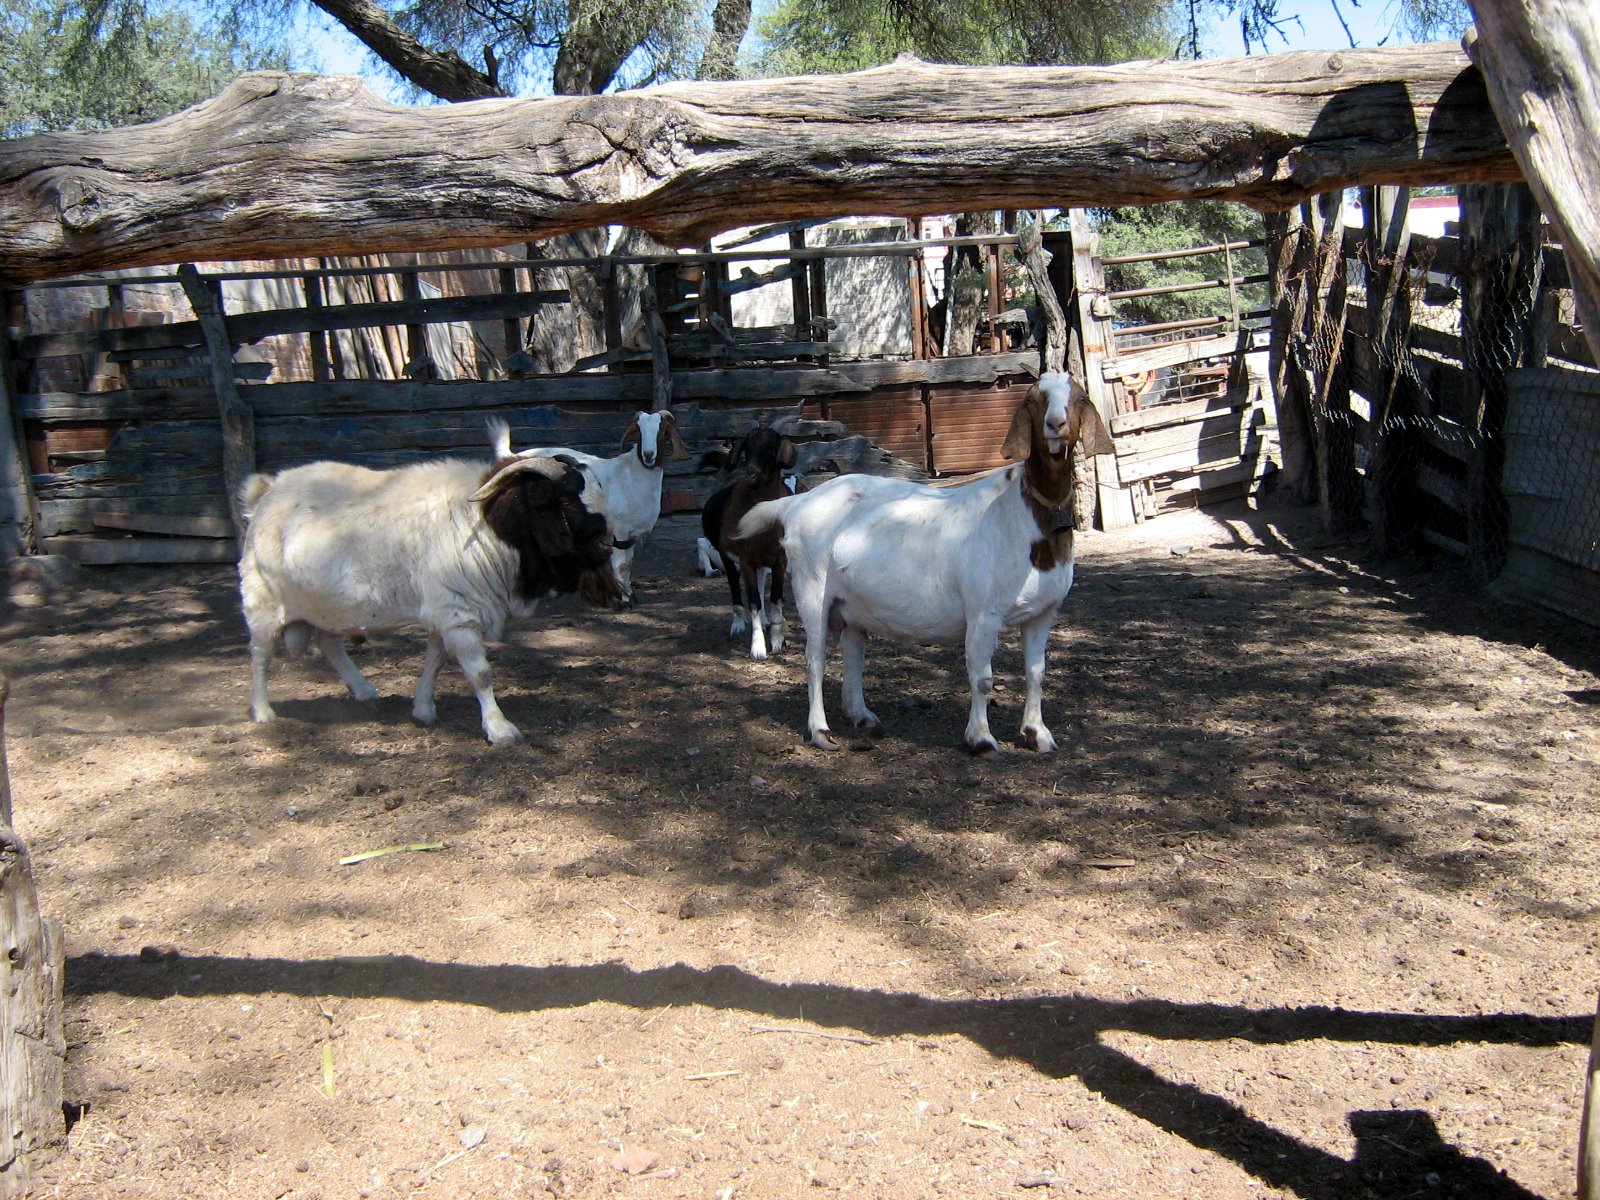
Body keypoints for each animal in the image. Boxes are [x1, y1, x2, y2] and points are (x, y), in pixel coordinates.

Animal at [239, 447, 622, 745]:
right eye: (567, 499)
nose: (608, 543)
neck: (488, 524)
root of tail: (267, 492)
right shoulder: (458, 613)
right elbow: (480, 673)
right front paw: (500, 729)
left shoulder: (445, 610)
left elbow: (435, 660)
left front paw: (423, 710)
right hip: (264, 601)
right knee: (260, 654)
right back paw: (262, 711)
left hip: (324, 604)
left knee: (329, 644)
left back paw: (364, 692)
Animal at [501, 409, 689, 606]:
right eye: (639, 431)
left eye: (661, 431)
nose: (648, 454)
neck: (632, 475)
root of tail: (509, 457)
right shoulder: (619, 530)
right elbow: (619, 565)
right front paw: (623, 599)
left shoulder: (632, 534)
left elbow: (628, 564)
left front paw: (631, 595)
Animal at [703, 425, 797, 660]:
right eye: (747, 449)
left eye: (771, 450)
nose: (750, 477)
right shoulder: (745, 559)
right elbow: (753, 600)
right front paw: (758, 647)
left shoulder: (779, 559)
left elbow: (776, 599)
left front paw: (778, 641)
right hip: (727, 556)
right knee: (735, 588)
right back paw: (737, 624)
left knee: (762, 579)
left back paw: (764, 620)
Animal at [734, 372, 1113, 752]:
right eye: (1035, 399)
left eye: (1080, 398)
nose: (1056, 424)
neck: (1024, 513)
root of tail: (797, 503)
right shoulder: (982, 611)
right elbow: (982, 678)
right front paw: (981, 738)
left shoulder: (1043, 612)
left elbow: (1036, 673)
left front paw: (1038, 734)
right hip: (812, 589)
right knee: (815, 659)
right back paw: (820, 731)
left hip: (849, 603)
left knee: (853, 651)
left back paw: (862, 716)